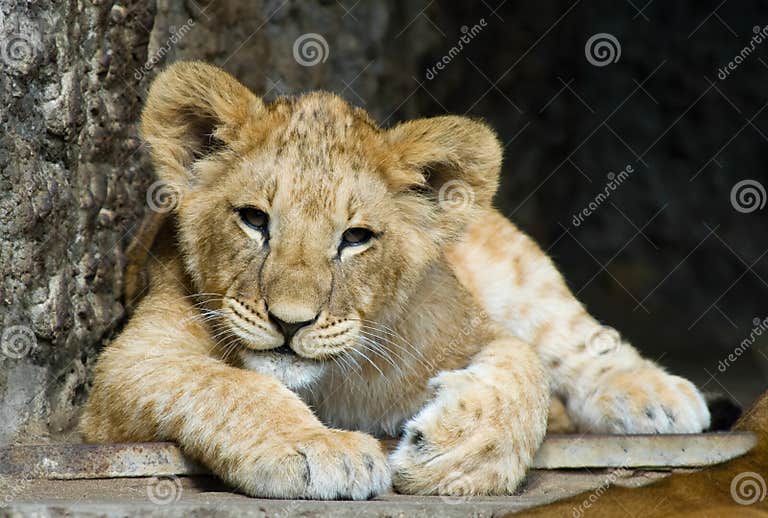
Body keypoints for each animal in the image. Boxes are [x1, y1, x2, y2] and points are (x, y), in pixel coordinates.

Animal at [80, 61, 710, 499]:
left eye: (355, 237)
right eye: (254, 220)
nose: (290, 322)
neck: (327, 386)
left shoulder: (465, 326)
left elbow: (525, 366)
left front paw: (458, 458)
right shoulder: (128, 365)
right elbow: (229, 386)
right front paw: (322, 448)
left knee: (571, 336)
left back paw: (656, 397)